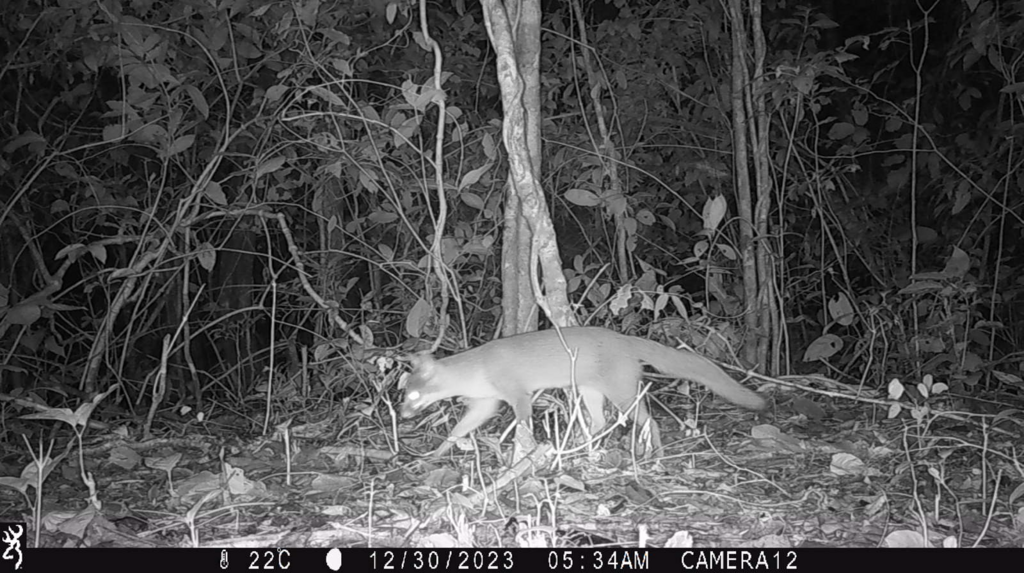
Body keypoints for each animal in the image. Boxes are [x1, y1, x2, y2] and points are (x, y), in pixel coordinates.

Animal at [400, 326, 766, 456]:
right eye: (403, 394)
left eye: (413, 396)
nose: (402, 413)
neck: (477, 367)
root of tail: (625, 339)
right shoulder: (486, 402)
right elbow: (458, 429)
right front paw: (433, 456)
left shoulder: (516, 393)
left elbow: (522, 423)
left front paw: (520, 454)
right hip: (591, 390)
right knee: (601, 422)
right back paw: (584, 447)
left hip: (622, 390)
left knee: (648, 421)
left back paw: (655, 454)